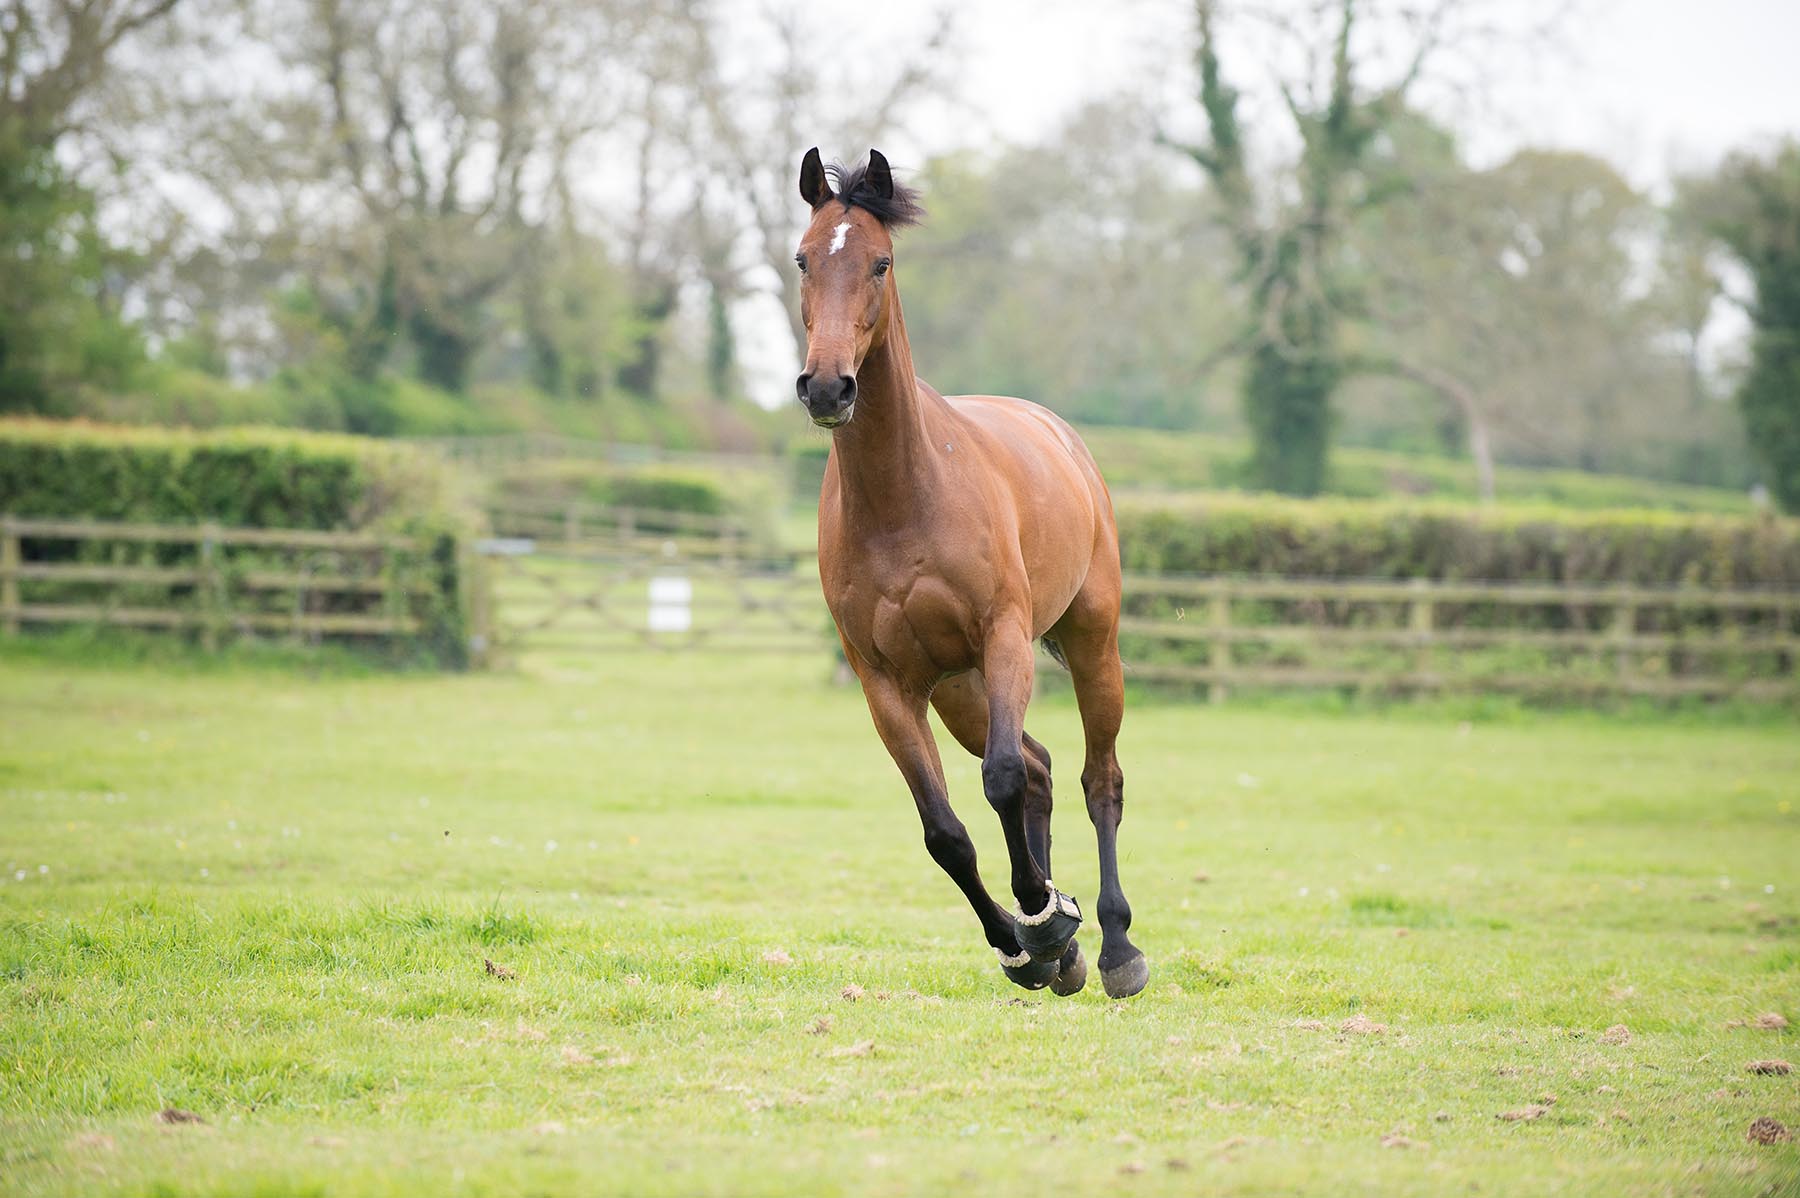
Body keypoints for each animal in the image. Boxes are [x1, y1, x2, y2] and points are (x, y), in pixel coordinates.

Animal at [794, 147, 1147, 999]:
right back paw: (1066, 948)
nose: (826, 386)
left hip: (1090, 646)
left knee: (1096, 778)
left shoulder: (1004, 639)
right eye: (802, 259)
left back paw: (1114, 944)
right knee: (1045, 770)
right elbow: (946, 830)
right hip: (957, 690)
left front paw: (1046, 918)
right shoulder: (888, 684)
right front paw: (1028, 945)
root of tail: (1062, 436)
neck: (902, 499)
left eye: (880, 263)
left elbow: (1001, 780)